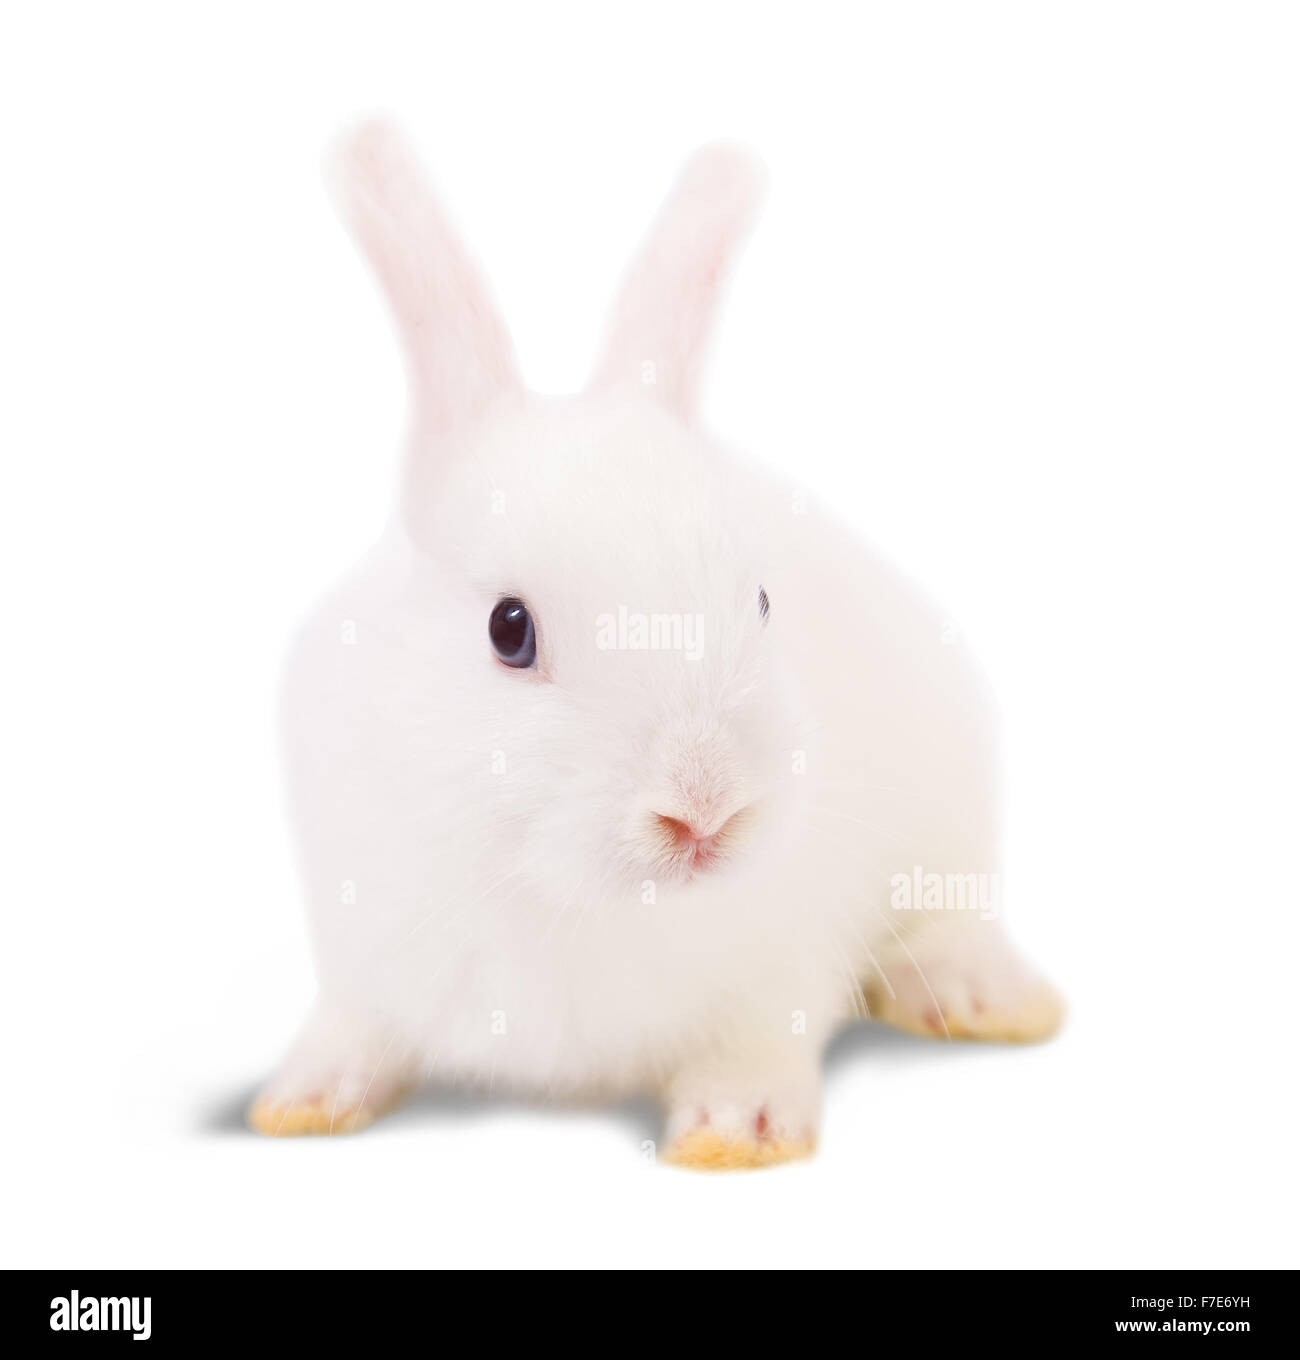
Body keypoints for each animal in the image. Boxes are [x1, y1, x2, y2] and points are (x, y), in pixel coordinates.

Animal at [248, 122, 1063, 1169]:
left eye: (761, 599)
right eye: (509, 629)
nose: (706, 812)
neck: (569, 899)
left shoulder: (778, 968)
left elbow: (756, 1043)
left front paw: (738, 1132)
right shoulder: (368, 947)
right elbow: (352, 1029)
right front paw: (302, 1101)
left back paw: (990, 1001)